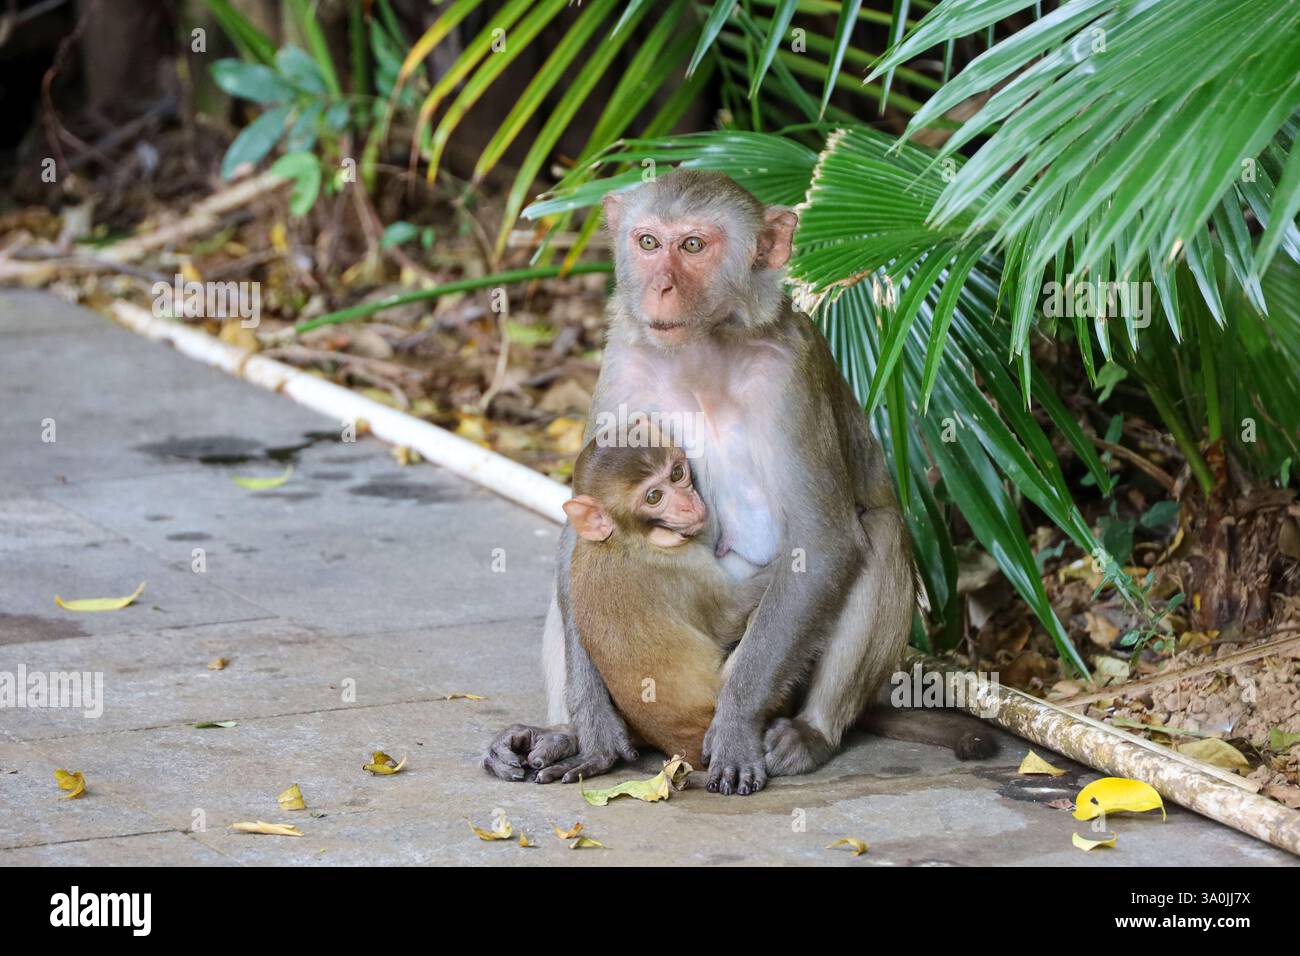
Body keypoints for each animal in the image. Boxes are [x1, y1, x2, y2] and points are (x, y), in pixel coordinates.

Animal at [485, 169, 984, 795]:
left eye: (694, 246)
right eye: (648, 242)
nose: (661, 287)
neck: (702, 349)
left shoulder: (789, 374)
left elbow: (821, 541)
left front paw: (737, 725)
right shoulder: (624, 356)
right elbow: (580, 532)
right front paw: (594, 730)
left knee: (881, 533)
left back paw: (813, 732)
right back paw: (562, 733)